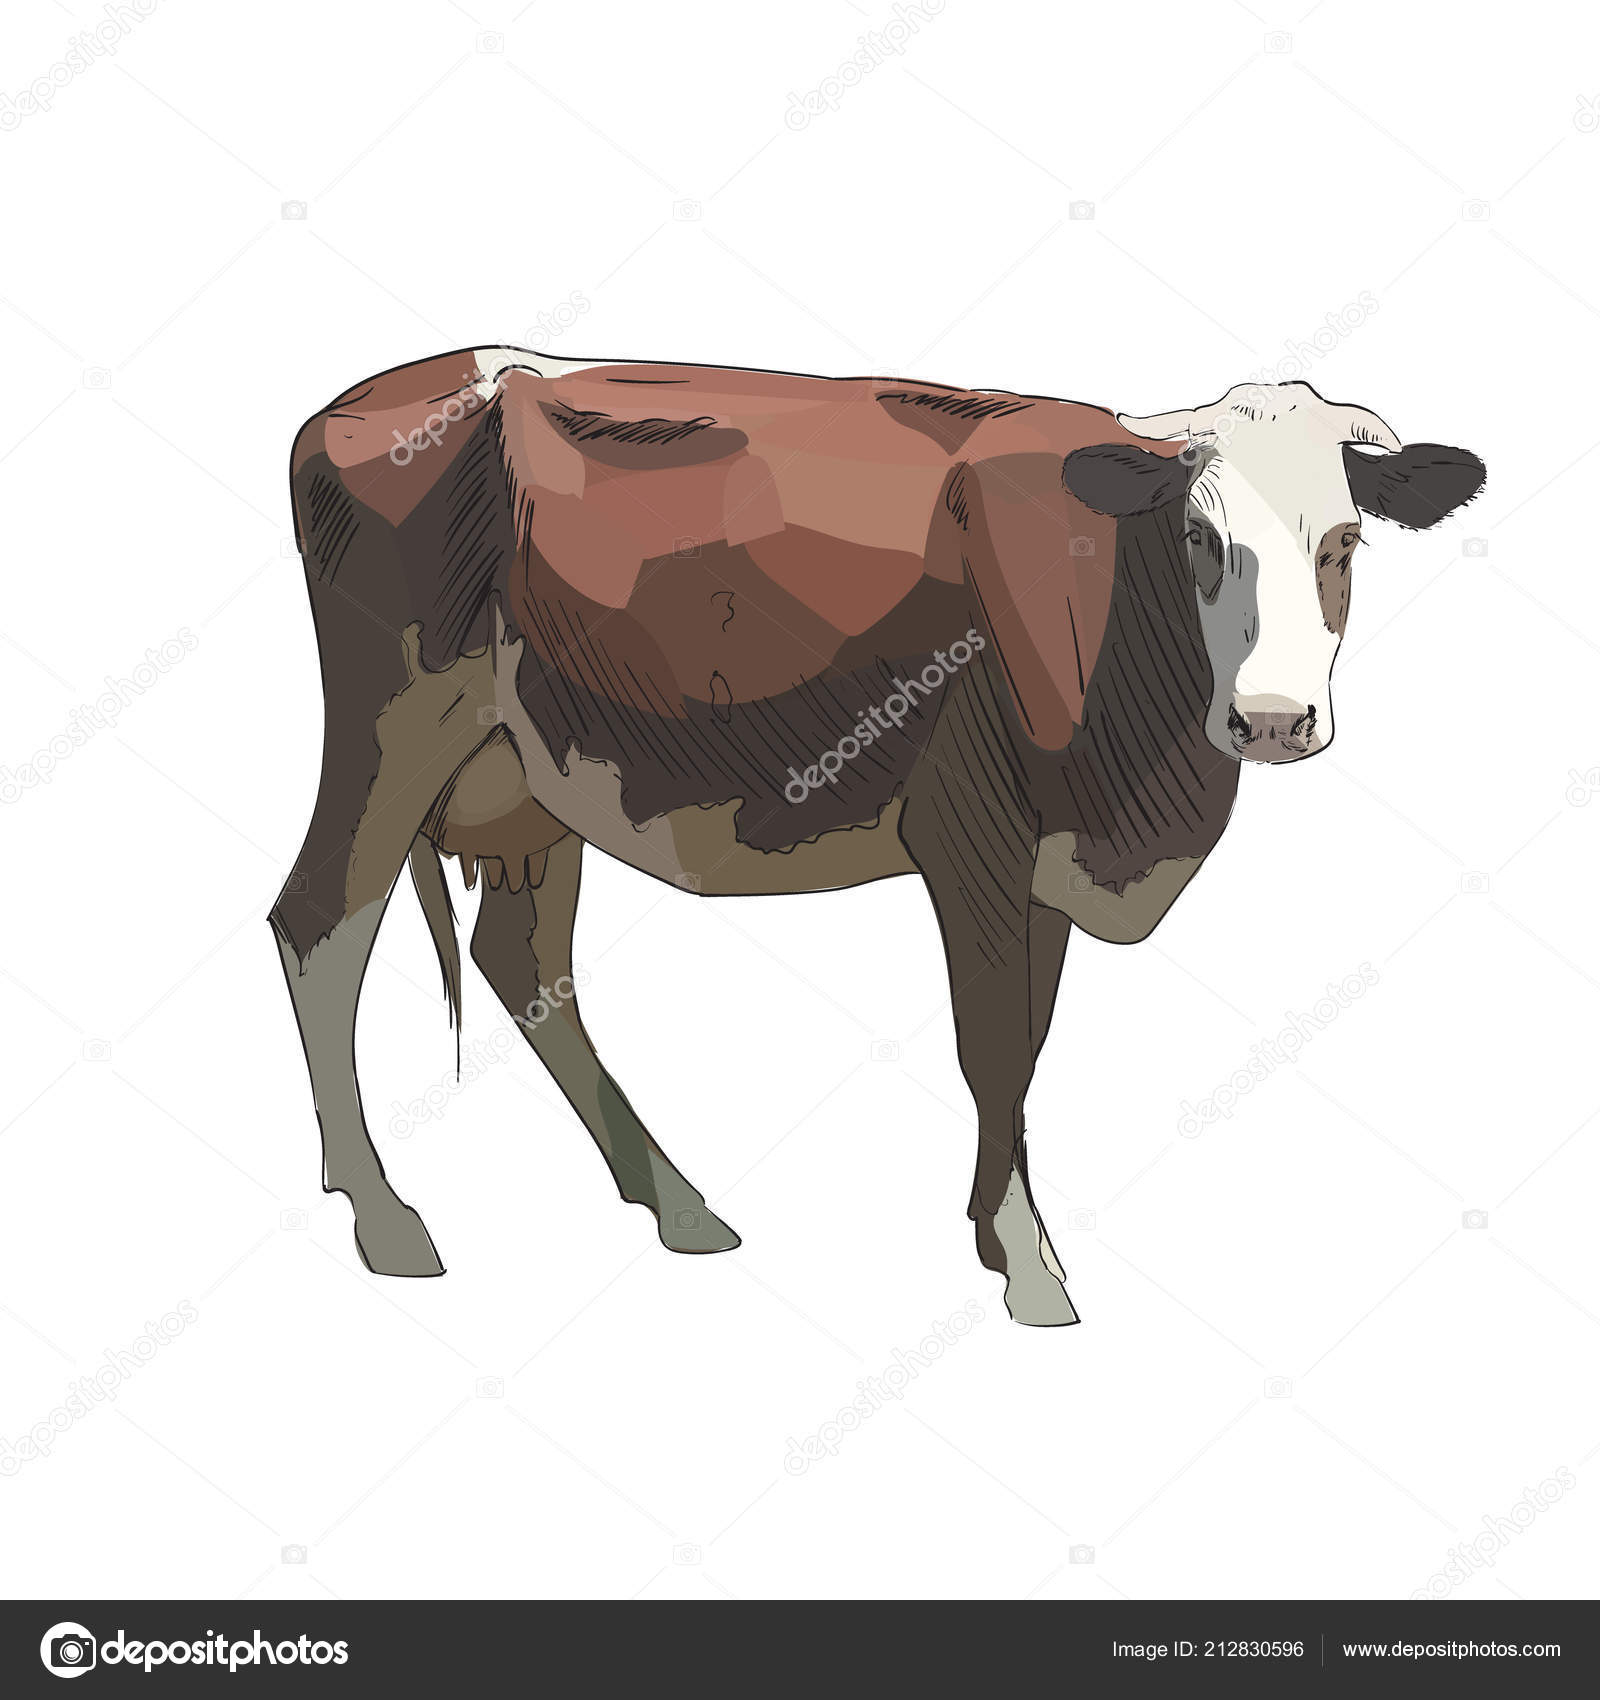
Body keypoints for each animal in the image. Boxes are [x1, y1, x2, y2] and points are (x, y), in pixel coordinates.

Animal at [270, 348, 1484, 1326]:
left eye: (1343, 542)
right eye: (1197, 534)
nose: (1273, 719)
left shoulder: (1044, 859)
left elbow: (1031, 1040)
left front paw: (994, 1228)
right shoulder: (968, 822)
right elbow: (992, 1043)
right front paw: (1029, 1268)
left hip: (532, 769)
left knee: (521, 959)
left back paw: (676, 1203)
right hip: (394, 721)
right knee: (320, 921)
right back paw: (384, 1213)